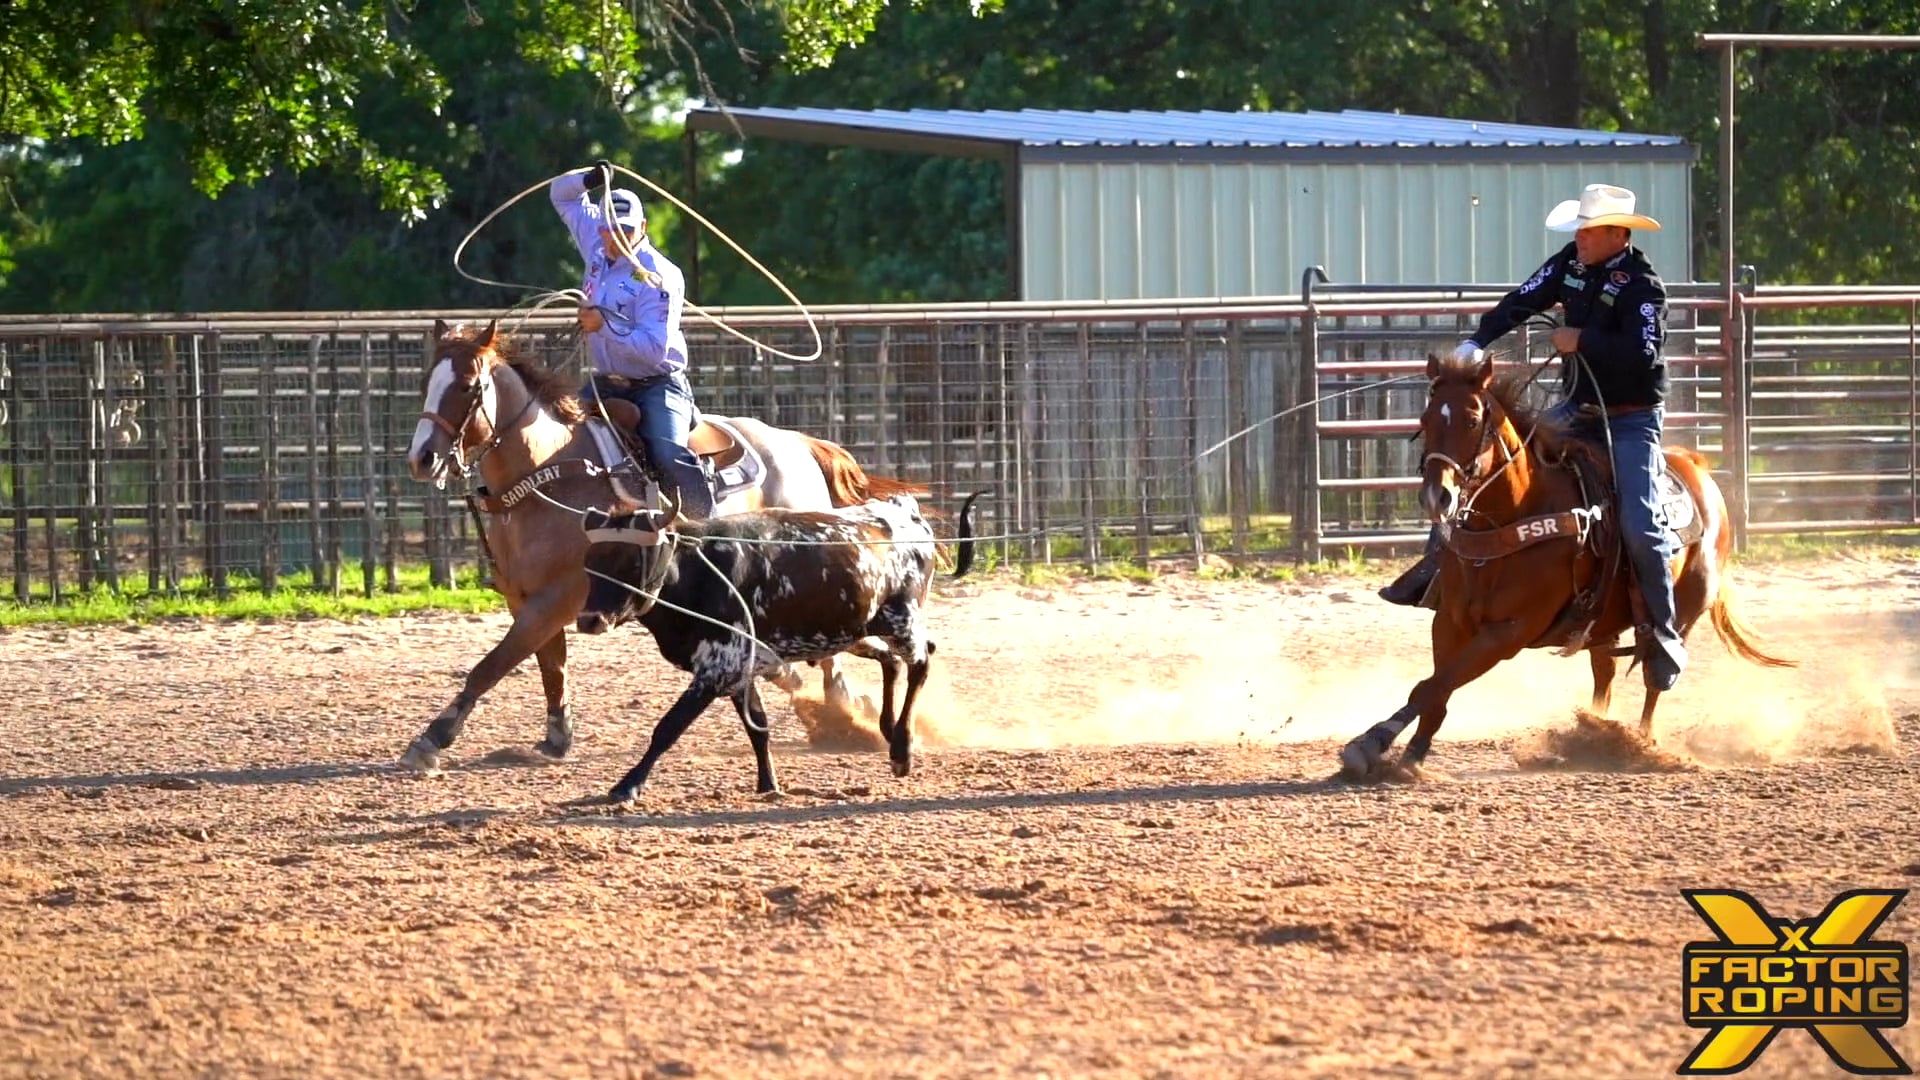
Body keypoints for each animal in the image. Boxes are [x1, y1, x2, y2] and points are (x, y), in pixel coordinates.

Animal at [575, 491, 981, 804]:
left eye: (630, 561)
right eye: (590, 561)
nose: (589, 620)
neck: (697, 574)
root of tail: (905, 511)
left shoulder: (717, 667)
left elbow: (669, 727)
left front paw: (627, 786)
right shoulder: (738, 670)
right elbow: (759, 727)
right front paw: (768, 783)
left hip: (901, 619)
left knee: (920, 662)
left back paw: (902, 750)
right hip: (855, 632)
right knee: (892, 662)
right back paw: (887, 730)